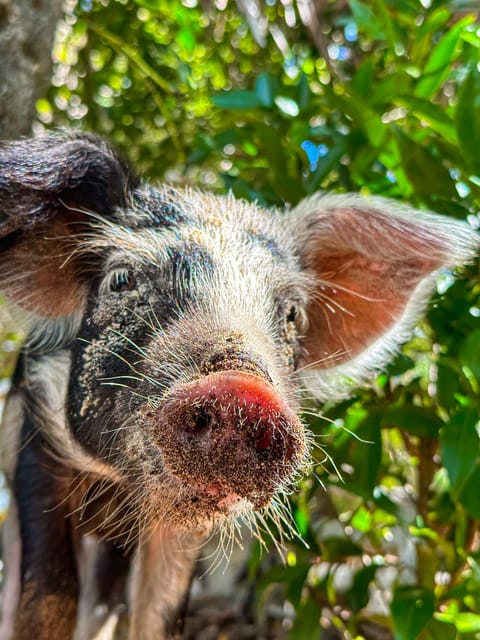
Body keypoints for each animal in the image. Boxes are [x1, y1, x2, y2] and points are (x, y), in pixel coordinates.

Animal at [0, 129, 477, 640]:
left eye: (292, 314)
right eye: (122, 279)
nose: (241, 389)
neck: (118, 481)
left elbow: (159, 611)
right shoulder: (37, 430)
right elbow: (49, 594)